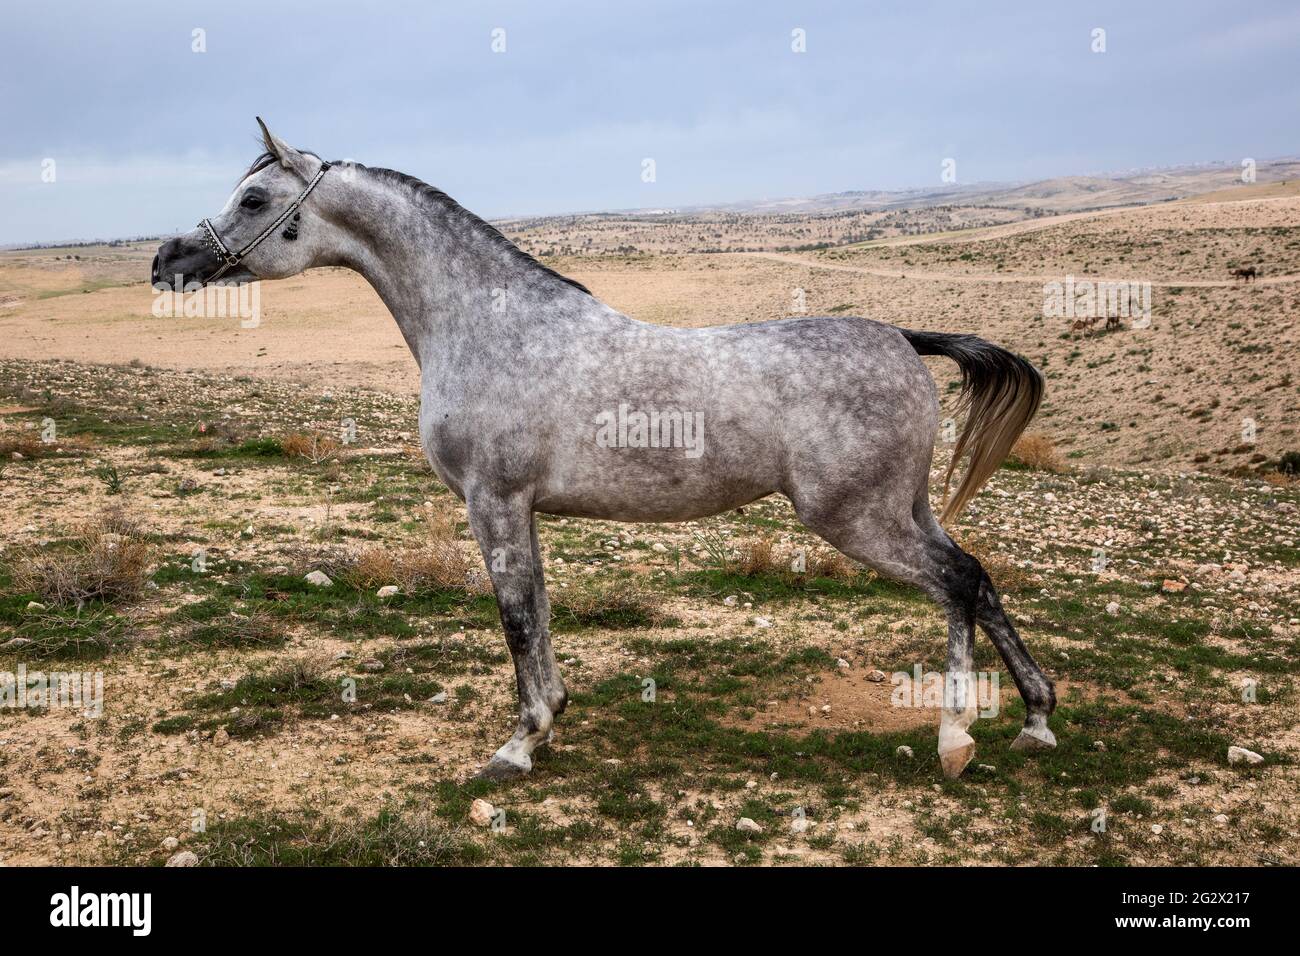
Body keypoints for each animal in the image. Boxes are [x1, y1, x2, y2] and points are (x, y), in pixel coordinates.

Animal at [153, 120, 1057, 781]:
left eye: (254, 197)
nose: (168, 259)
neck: (489, 327)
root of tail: (903, 340)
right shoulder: (518, 510)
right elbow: (539, 614)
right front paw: (549, 719)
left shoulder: (494, 503)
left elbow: (517, 620)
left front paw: (519, 745)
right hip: (904, 509)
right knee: (979, 578)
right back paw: (1036, 719)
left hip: (859, 519)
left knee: (957, 584)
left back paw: (955, 738)